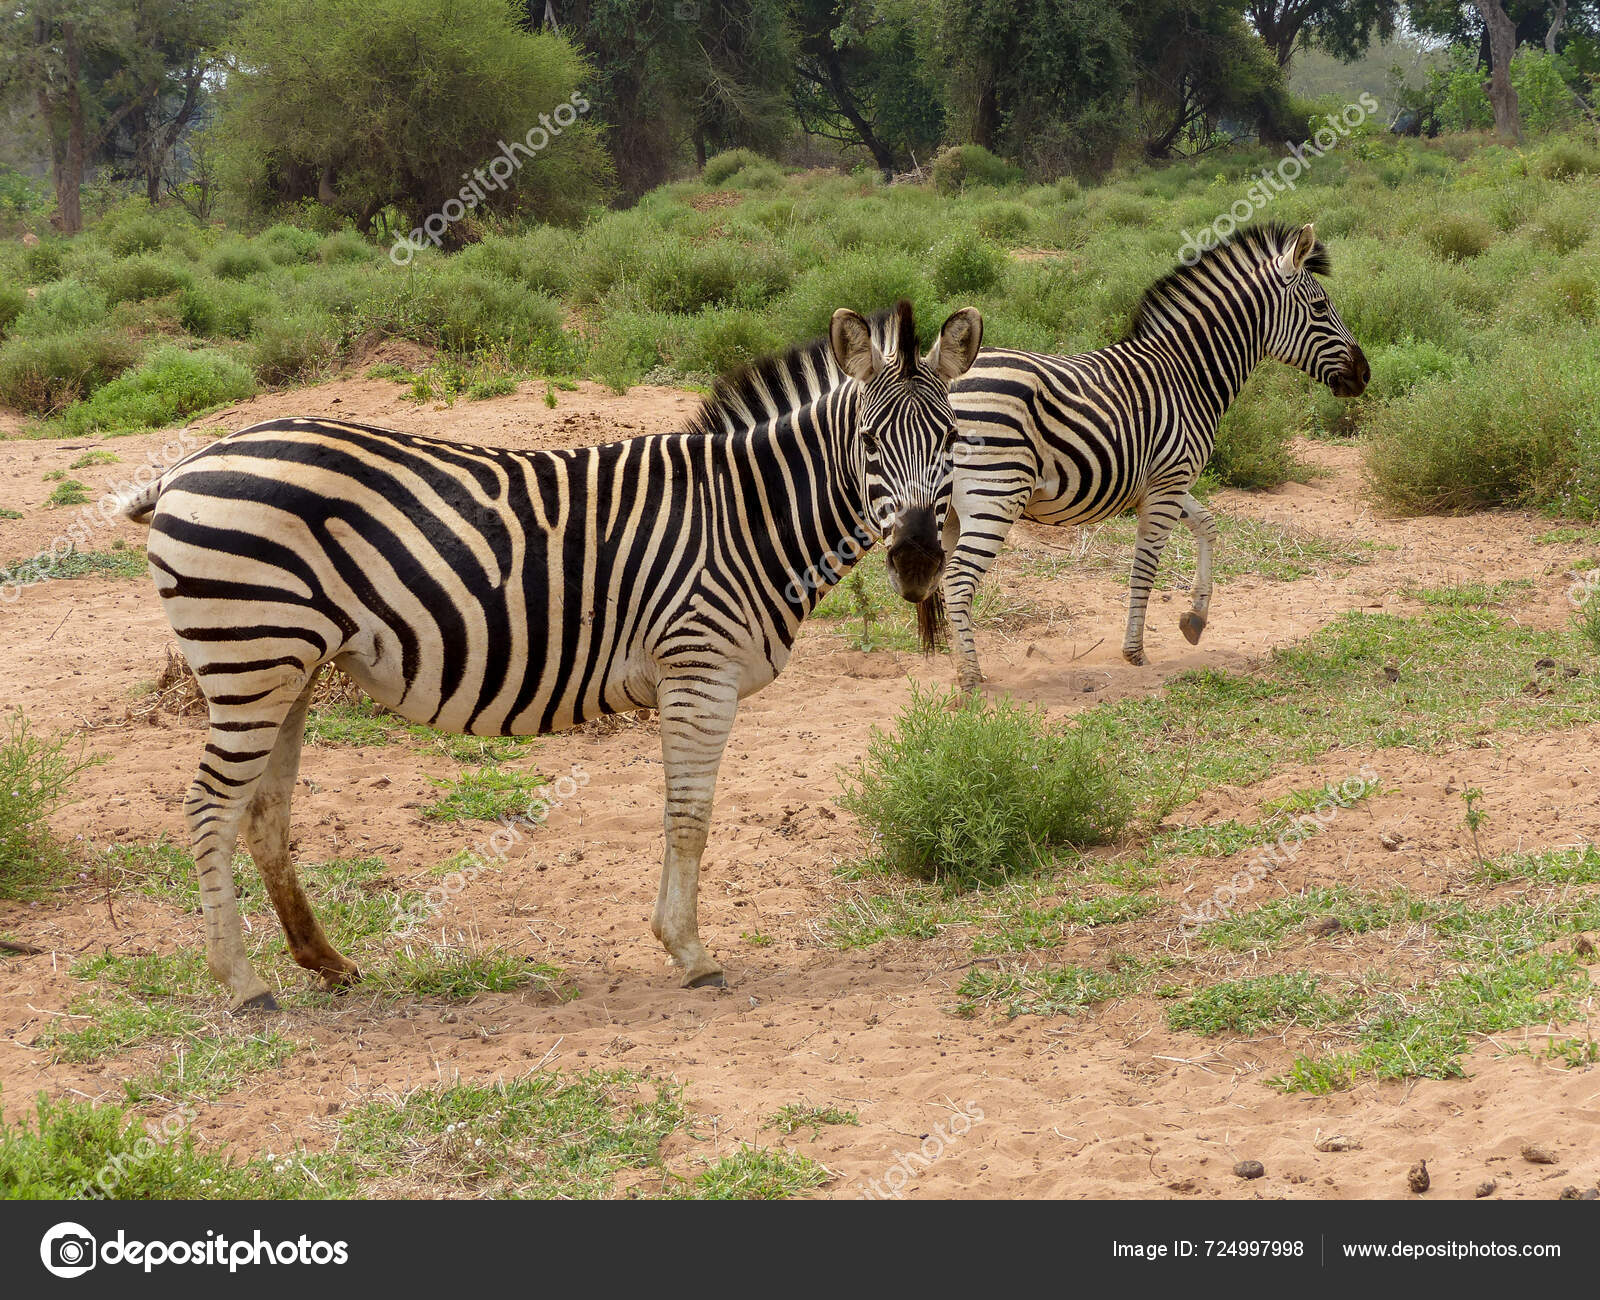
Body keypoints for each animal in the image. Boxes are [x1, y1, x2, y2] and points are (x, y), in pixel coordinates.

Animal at [120, 300, 983, 1010]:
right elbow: (690, 815)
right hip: (249, 661)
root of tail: (193, 460)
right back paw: (243, 985)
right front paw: (691, 953)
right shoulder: (698, 671)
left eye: (951, 441)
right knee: (209, 806)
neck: (745, 517)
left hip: (286, 669)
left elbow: (685, 813)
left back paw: (323, 962)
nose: (916, 561)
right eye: (868, 442)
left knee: (263, 810)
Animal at [933, 221, 1368, 688]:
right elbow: (1145, 567)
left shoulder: (1167, 481)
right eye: (1320, 307)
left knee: (945, 574)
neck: (1187, 374)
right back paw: (971, 677)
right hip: (996, 493)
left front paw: (1195, 619)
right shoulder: (1169, 482)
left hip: (951, 504)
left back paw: (953, 659)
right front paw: (1135, 651)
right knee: (958, 580)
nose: (1365, 375)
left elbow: (1208, 526)